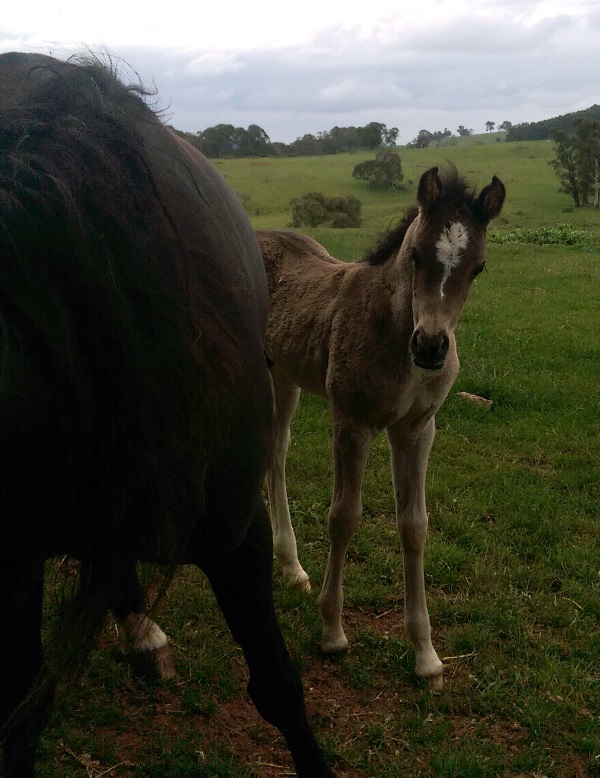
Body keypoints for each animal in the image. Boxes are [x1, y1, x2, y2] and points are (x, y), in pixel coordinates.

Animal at [257, 166, 505, 687]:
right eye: (415, 256)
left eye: (478, 268)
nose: (431, 346)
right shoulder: (351, 422)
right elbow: (343, 517)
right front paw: (332, 632)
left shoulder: (416, 430)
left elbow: (414, 526)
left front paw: (426, 655)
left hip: (284, 377)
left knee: (277, 454)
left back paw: (290, 567)